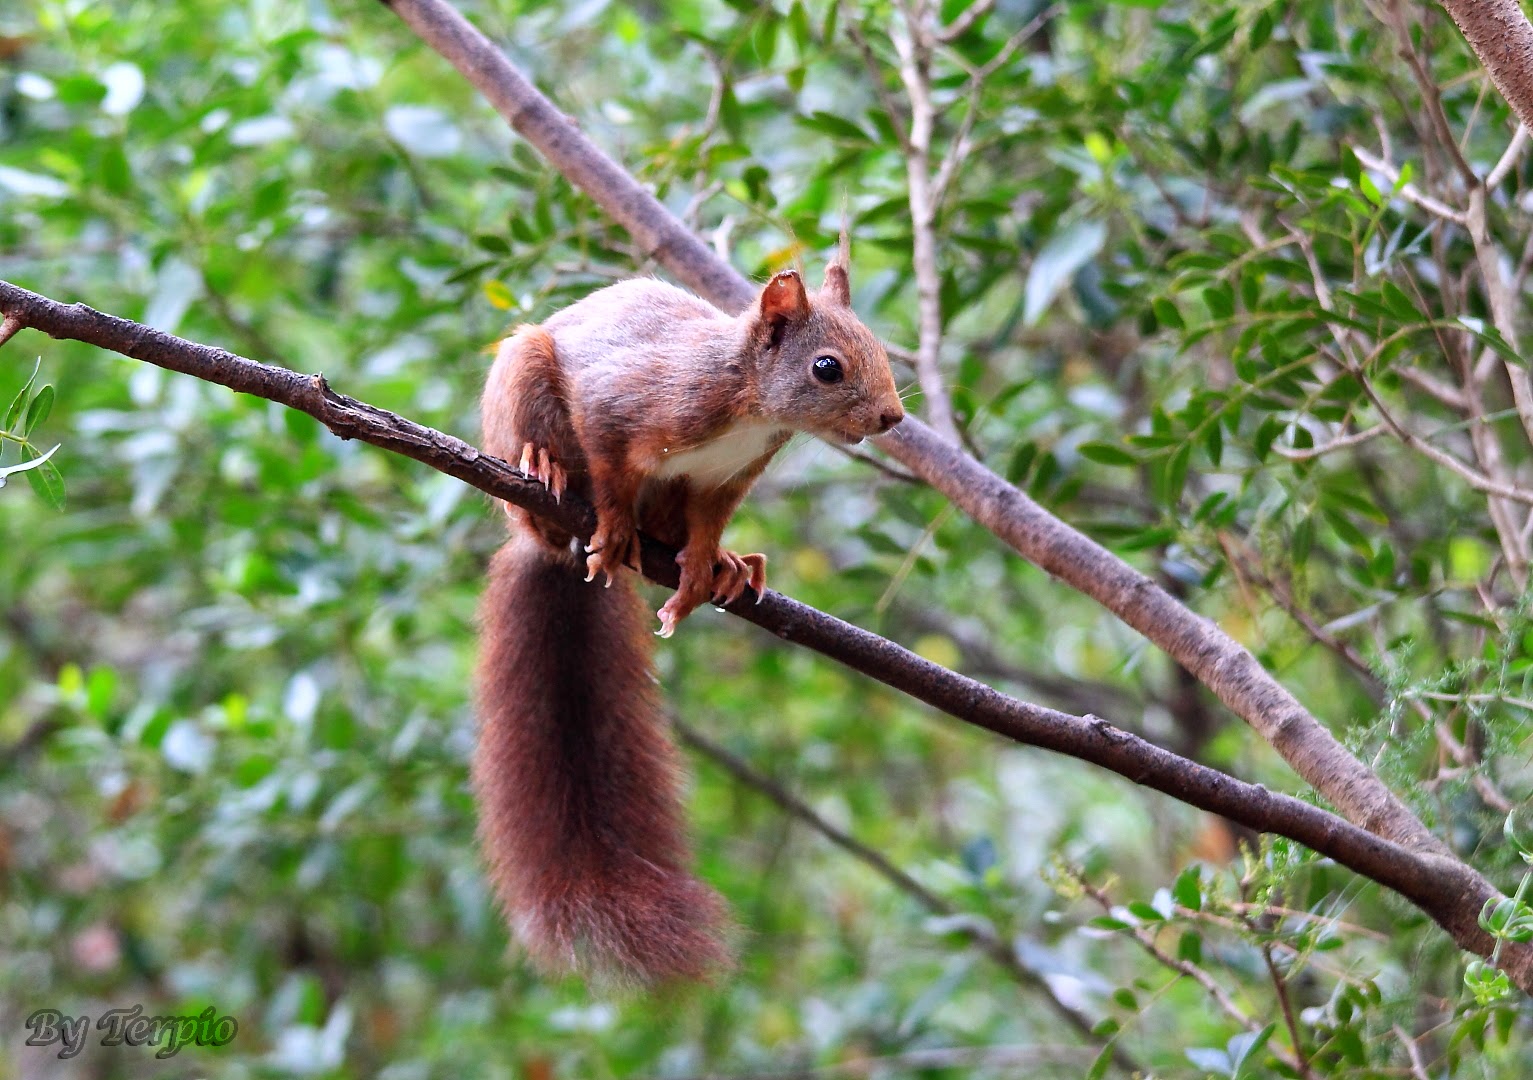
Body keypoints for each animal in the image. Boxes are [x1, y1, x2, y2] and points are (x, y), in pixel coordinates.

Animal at [473, 242, 904, 987]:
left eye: (878, 346)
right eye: (827, 367)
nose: (892, 419)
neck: (749, 401)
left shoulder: (721, 480)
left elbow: (705, 527)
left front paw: (703, 568)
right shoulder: (625, 401)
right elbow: (611, 473)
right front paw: (614, 528)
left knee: (672, 531)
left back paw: (730, 565)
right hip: (523, 382)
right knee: (541, 490)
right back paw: (542, 473)